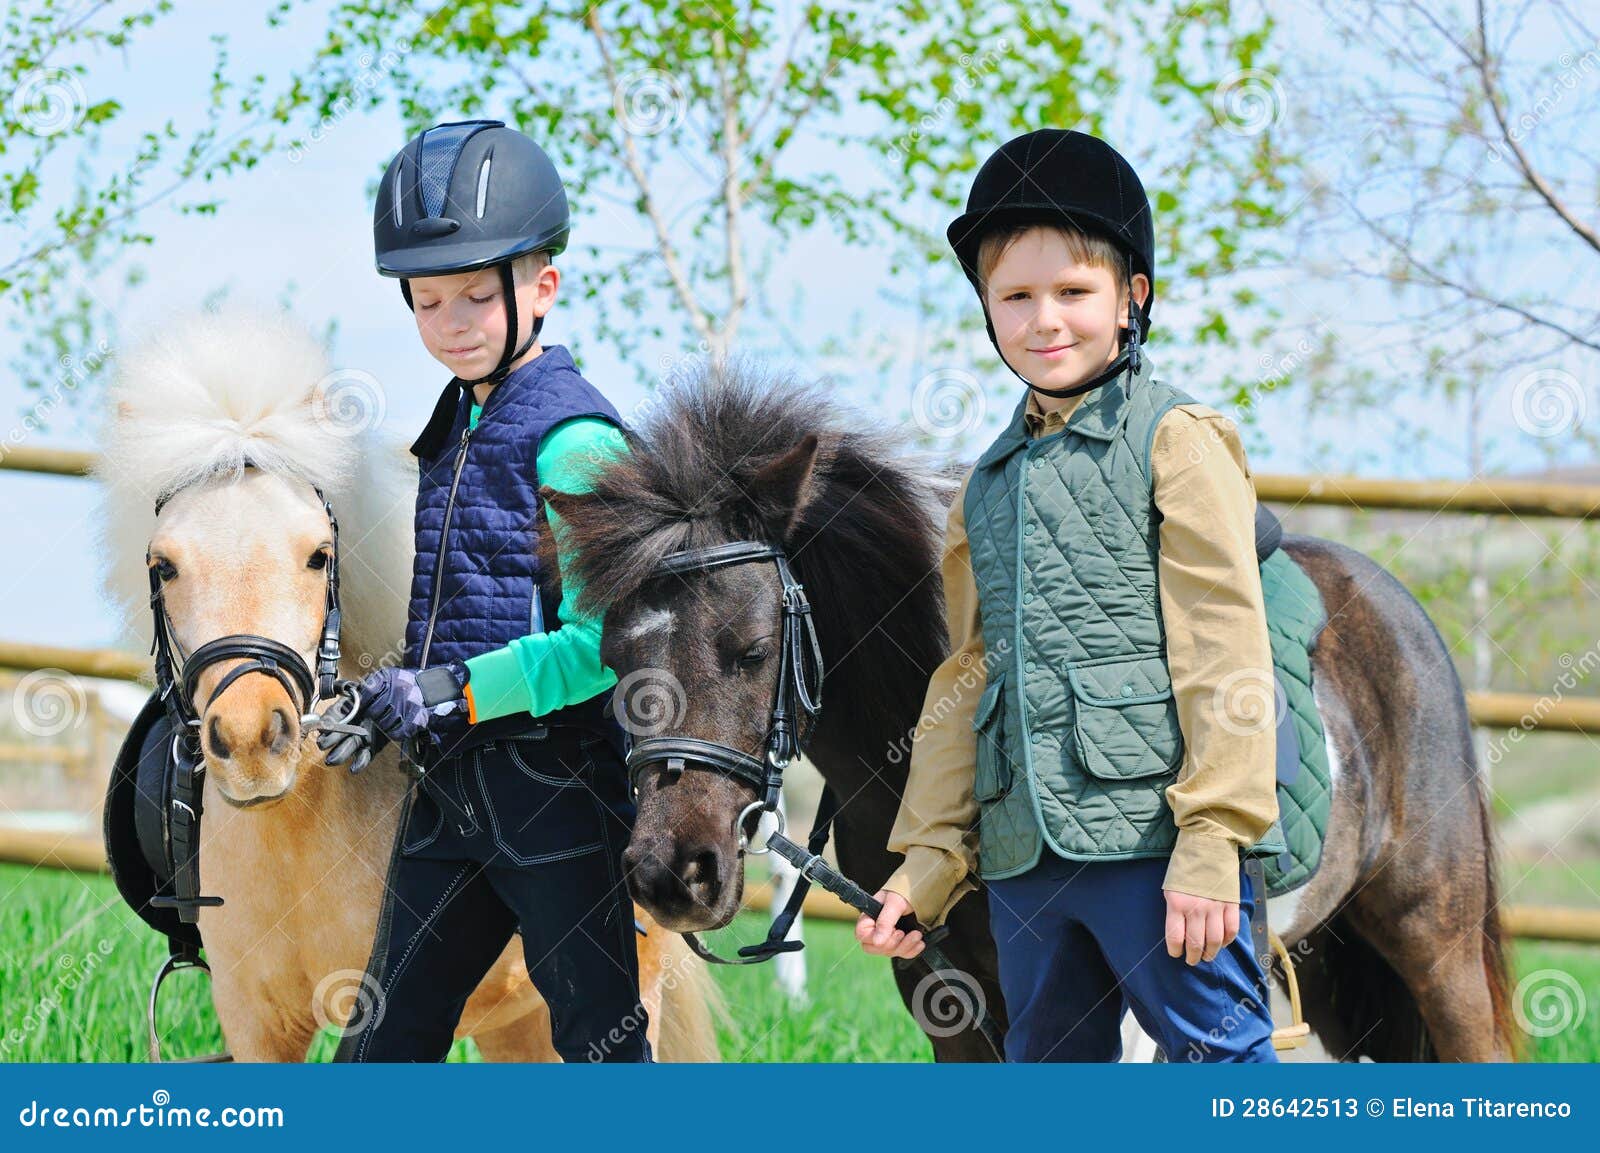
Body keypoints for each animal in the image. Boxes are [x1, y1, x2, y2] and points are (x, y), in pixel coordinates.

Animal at [95, 309, 718, 1062]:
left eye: (319, 555)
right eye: (163, 565)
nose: (249, 741)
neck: (299, 828)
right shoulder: (254, 1024)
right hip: (516, 1025)